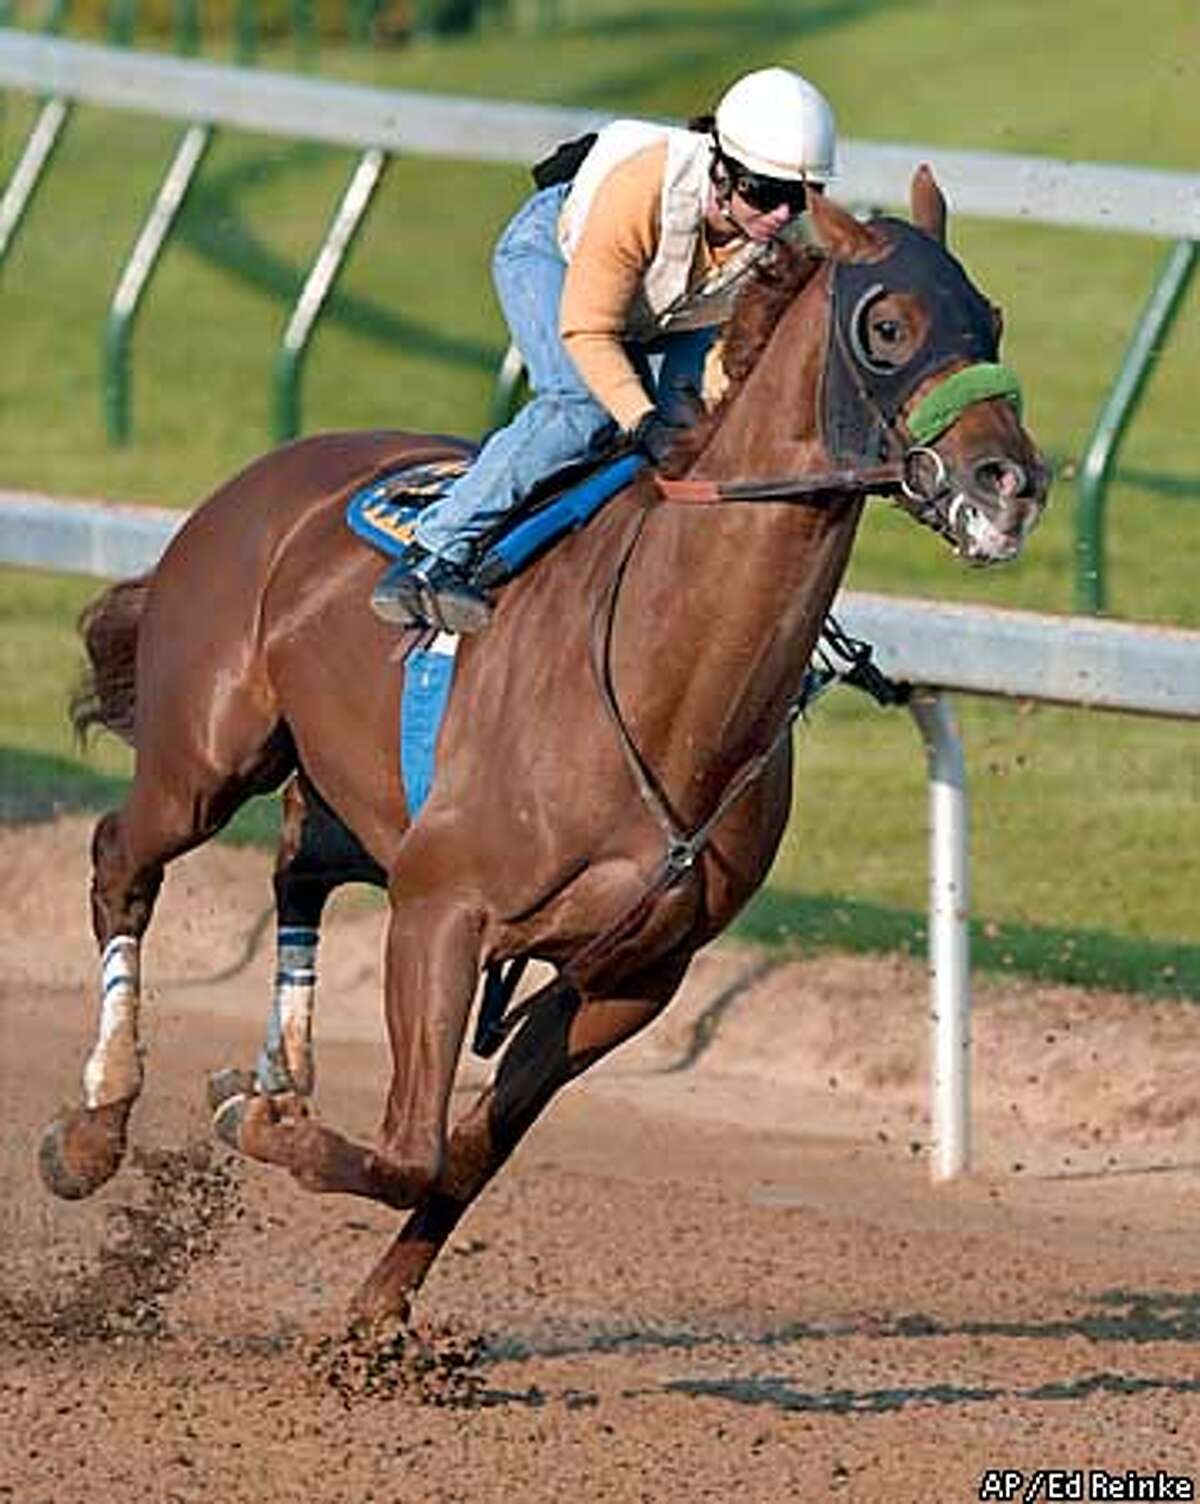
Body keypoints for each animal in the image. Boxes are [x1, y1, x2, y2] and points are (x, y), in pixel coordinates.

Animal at [41, 168, 1047, 1325]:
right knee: (122, 856)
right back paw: (94, 1126)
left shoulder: (627, 979)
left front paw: (373, 1326)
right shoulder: (442, 910)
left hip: (348, 801)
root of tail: (264, 477)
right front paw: (250, 1125)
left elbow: (464, 1154)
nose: (1012, 481)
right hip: (204, 759)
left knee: (298, 868)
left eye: (994, 319)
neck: (666, 686)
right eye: (887, 326)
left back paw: (278, 1072)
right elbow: (409, 1148)